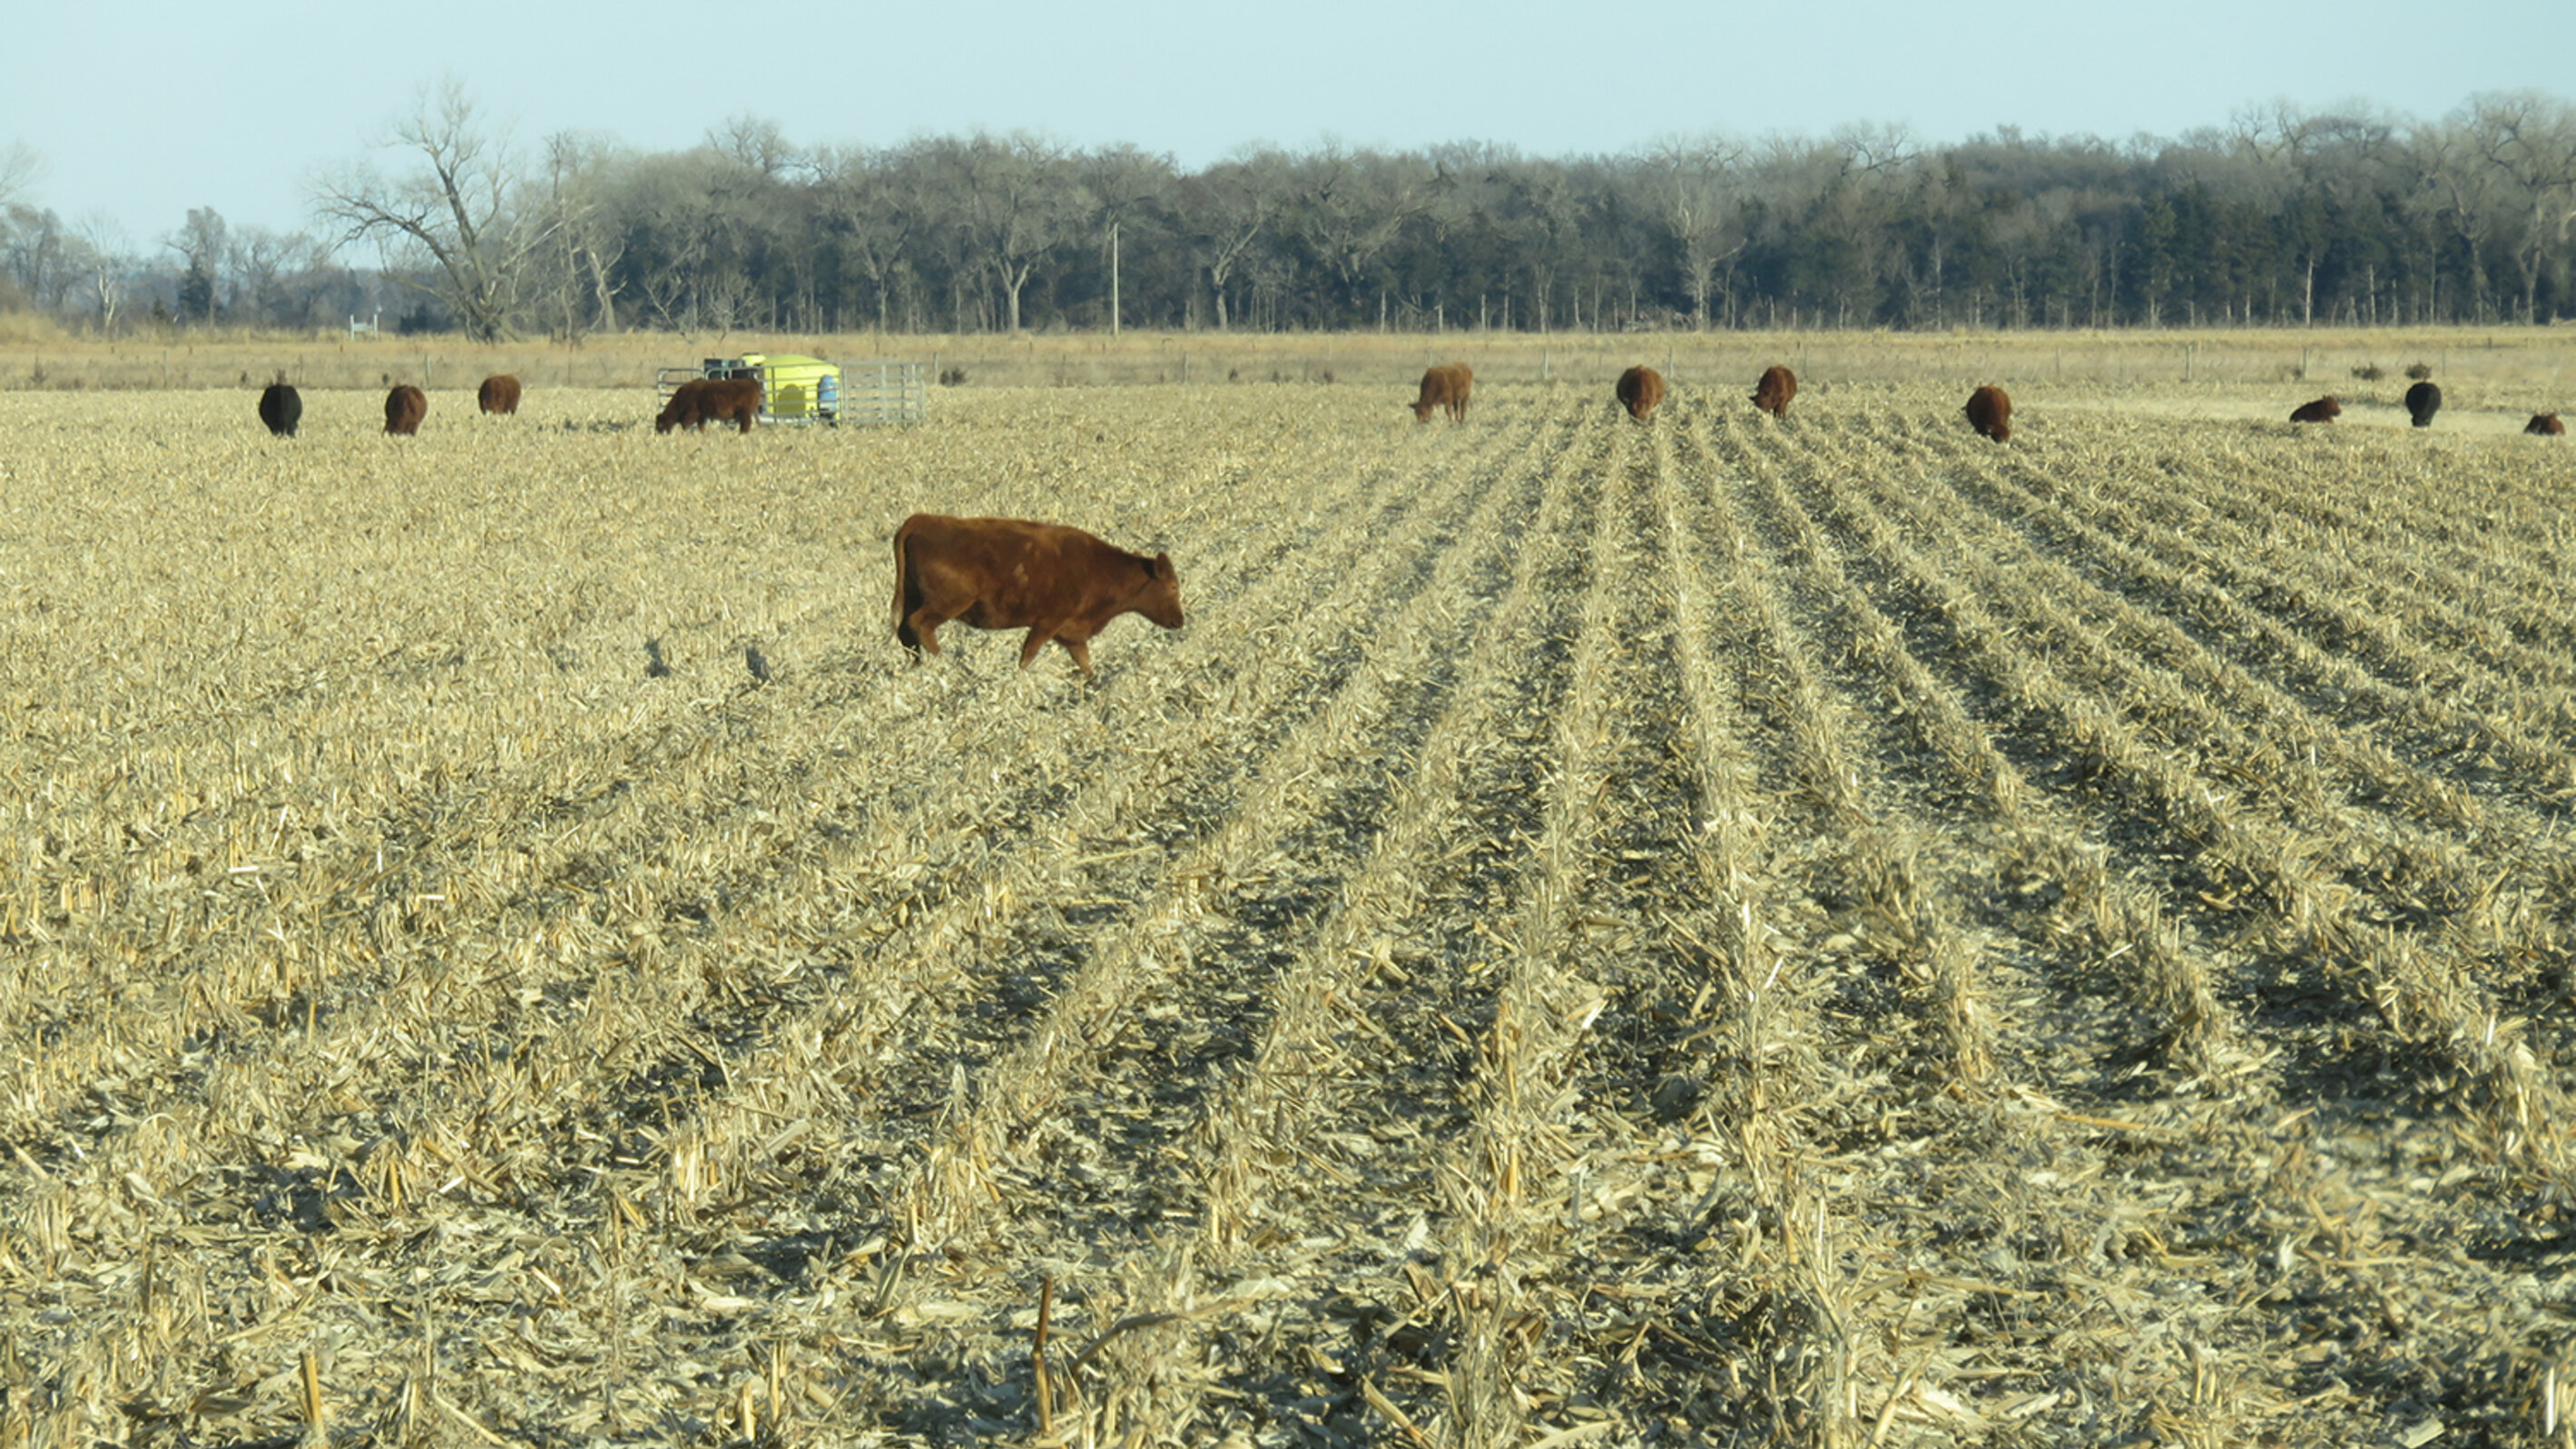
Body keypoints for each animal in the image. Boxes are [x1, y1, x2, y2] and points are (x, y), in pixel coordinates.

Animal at [892, 514, 1184, 679]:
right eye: (1173, 588)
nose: (1180, 621)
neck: (1099, 568)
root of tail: (924, 519)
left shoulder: (1071, 633)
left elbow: (1084, 663)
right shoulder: (1047, 622)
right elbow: (1028, 655)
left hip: (914, 598)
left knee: (905, 630)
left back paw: (917, 667)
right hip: (948, 602)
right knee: (919, 625)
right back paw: (947, 664)